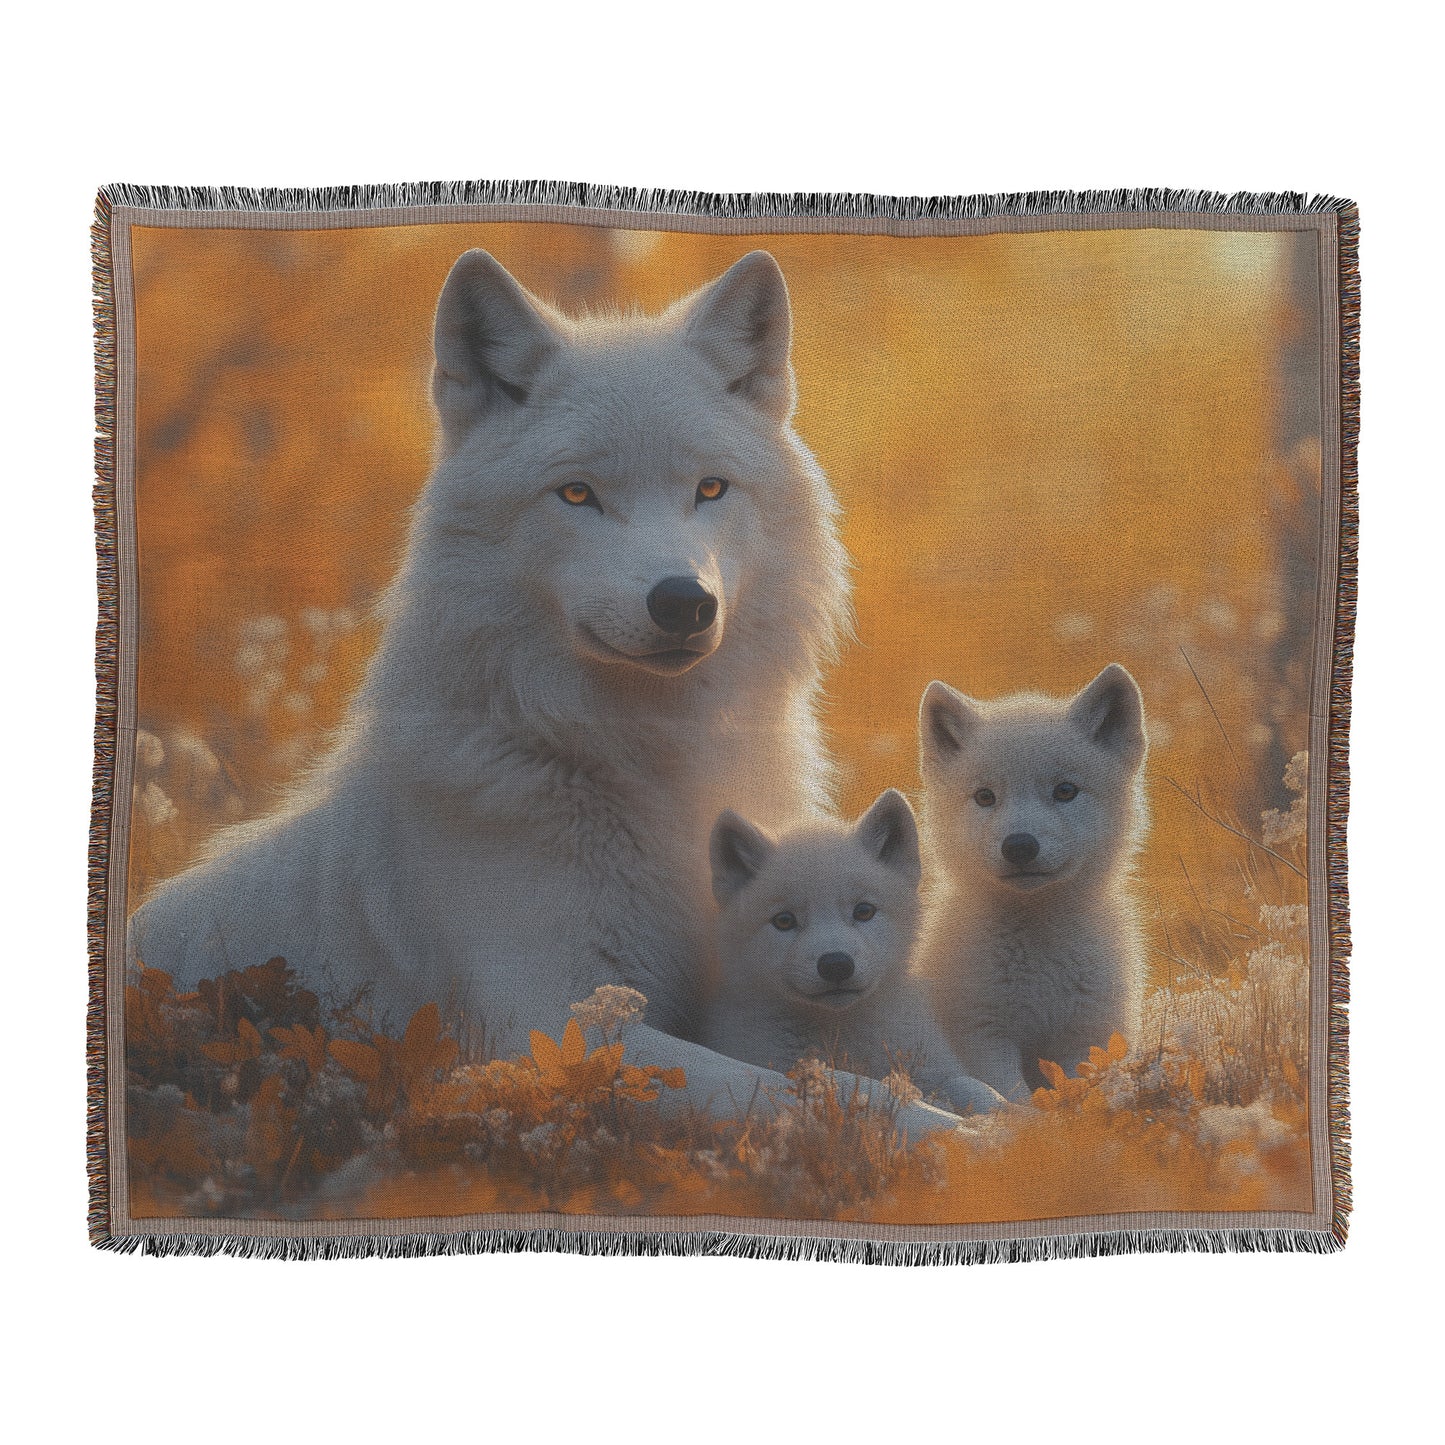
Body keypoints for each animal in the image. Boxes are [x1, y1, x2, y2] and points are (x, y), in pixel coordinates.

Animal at [129, 248, 961, 1135]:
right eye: (576, 494)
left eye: (709, 489)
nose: (683, 602)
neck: (655, 762)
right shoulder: (549, 1023)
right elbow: (821, 1089)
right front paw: (977, 1142)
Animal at [703, 789, 1005, 1113]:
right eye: (784, 921)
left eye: (863, 911)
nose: (836, 965)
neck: (840, 1030)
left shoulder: (934, 1066)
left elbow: (972, 1086)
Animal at [915, 664, 1149, 1101]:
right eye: (985, 797)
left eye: (1065, 791)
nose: (1020, 846)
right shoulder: (984, 1036)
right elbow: (1019, 1101)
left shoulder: (1084, 1038)